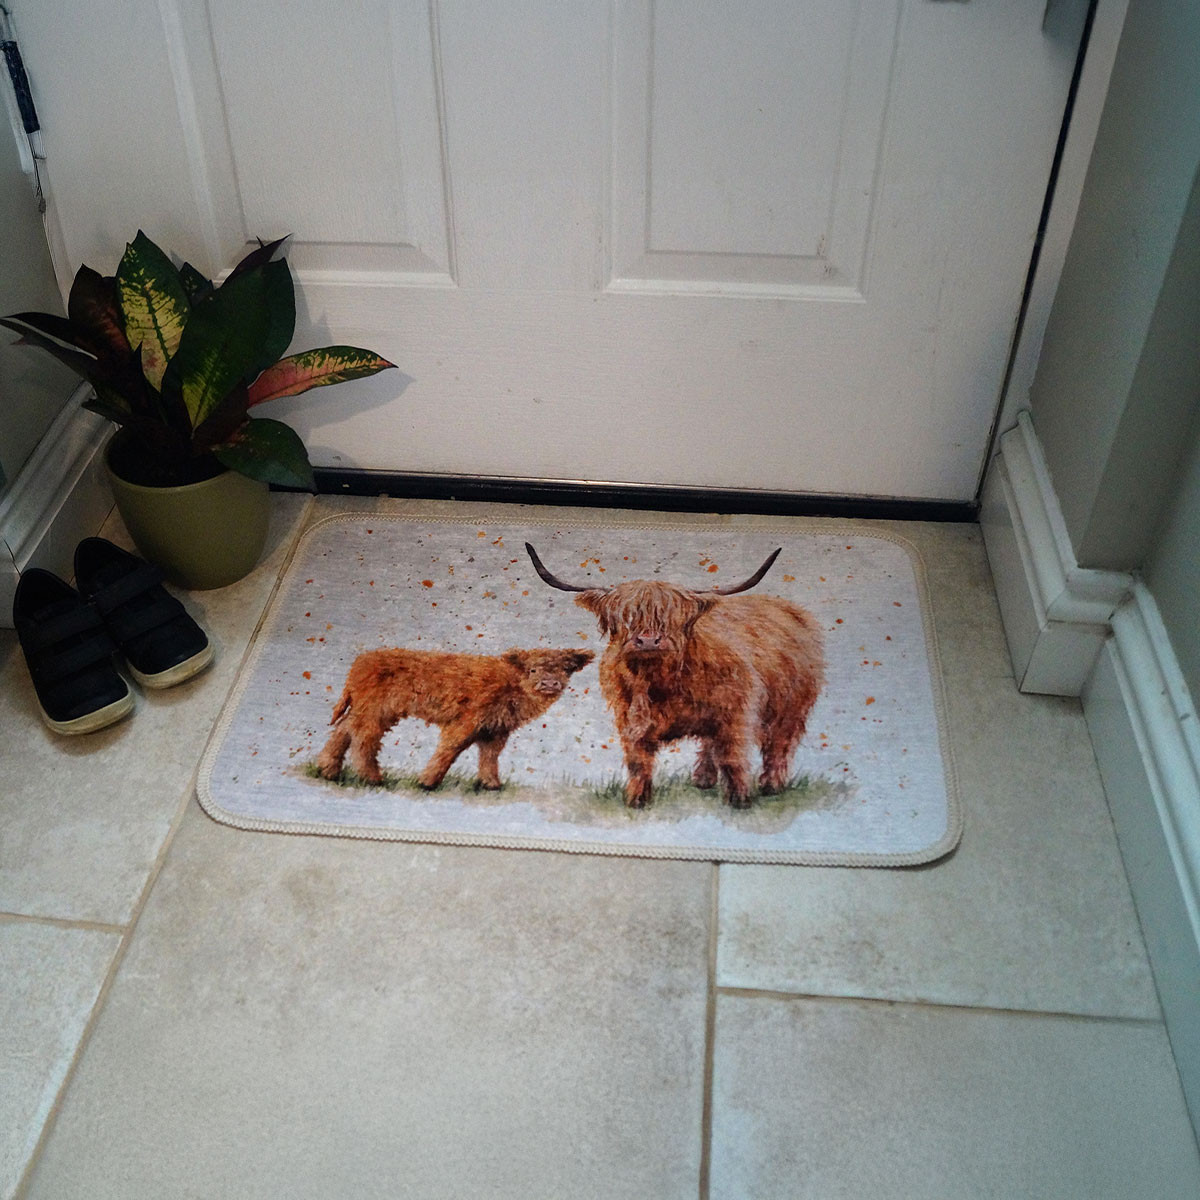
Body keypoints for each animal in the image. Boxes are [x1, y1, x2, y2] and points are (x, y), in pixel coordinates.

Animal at [316, 646, 594, 789]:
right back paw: (372, 779)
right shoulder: (465, 722)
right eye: (533, 669)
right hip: (376, 710)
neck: (512, 686)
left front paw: (491, 785)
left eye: (565, 668)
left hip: (368, 709)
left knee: (344, 729)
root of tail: (362, 660)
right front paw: (427, 782)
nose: (549, 683)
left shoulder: (495, 730)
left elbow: (489, 757)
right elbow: (450, 749)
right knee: (363, 738)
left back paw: (328, 771)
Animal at [525, 544, 824, 809]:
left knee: (778, 744)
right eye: (626, 617)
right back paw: (703, 780)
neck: (659, 681)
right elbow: (638, 761)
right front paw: (637, 801)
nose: (648, 640)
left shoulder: (735, 714)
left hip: (791, 706)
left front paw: (740, 802)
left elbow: (732, 757)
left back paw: (772, 786)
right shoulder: (630, 718)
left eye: (670, 616)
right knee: (709, 743)